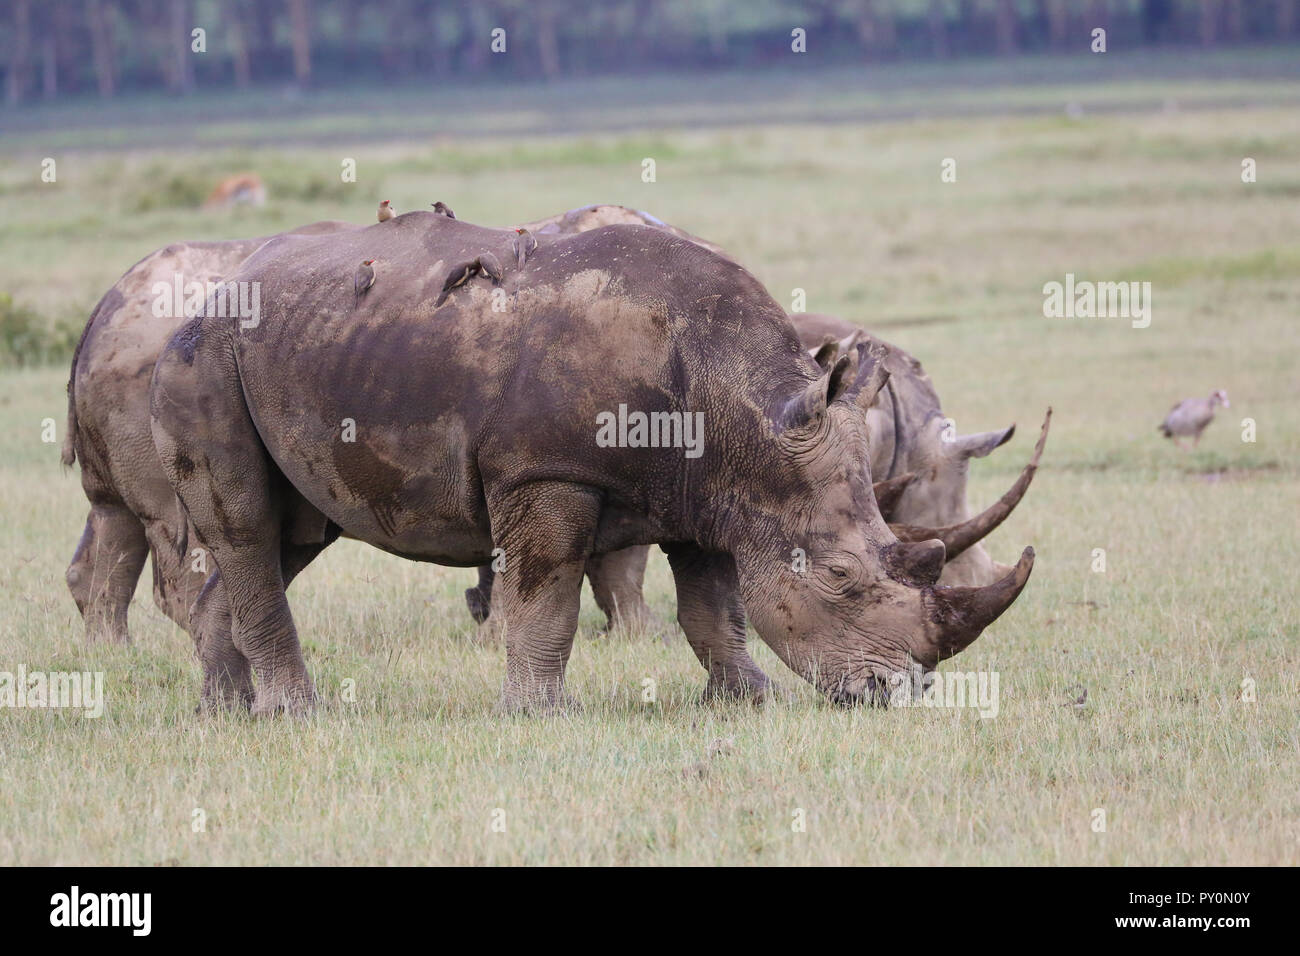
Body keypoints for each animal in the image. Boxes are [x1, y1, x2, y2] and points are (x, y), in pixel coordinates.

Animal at [148, 212, 1034, 713]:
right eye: (843, 579)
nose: (900, 693)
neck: (747, 417)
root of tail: (203, 304)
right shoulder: (547, 472)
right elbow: (548, 598)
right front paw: (539, 715)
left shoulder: (713, 491)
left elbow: (715, 605)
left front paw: (748, 702)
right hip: (204, 360)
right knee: (250, 527)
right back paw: (295, 713)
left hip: (292, 347)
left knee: (291, 534)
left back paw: (225, 710)